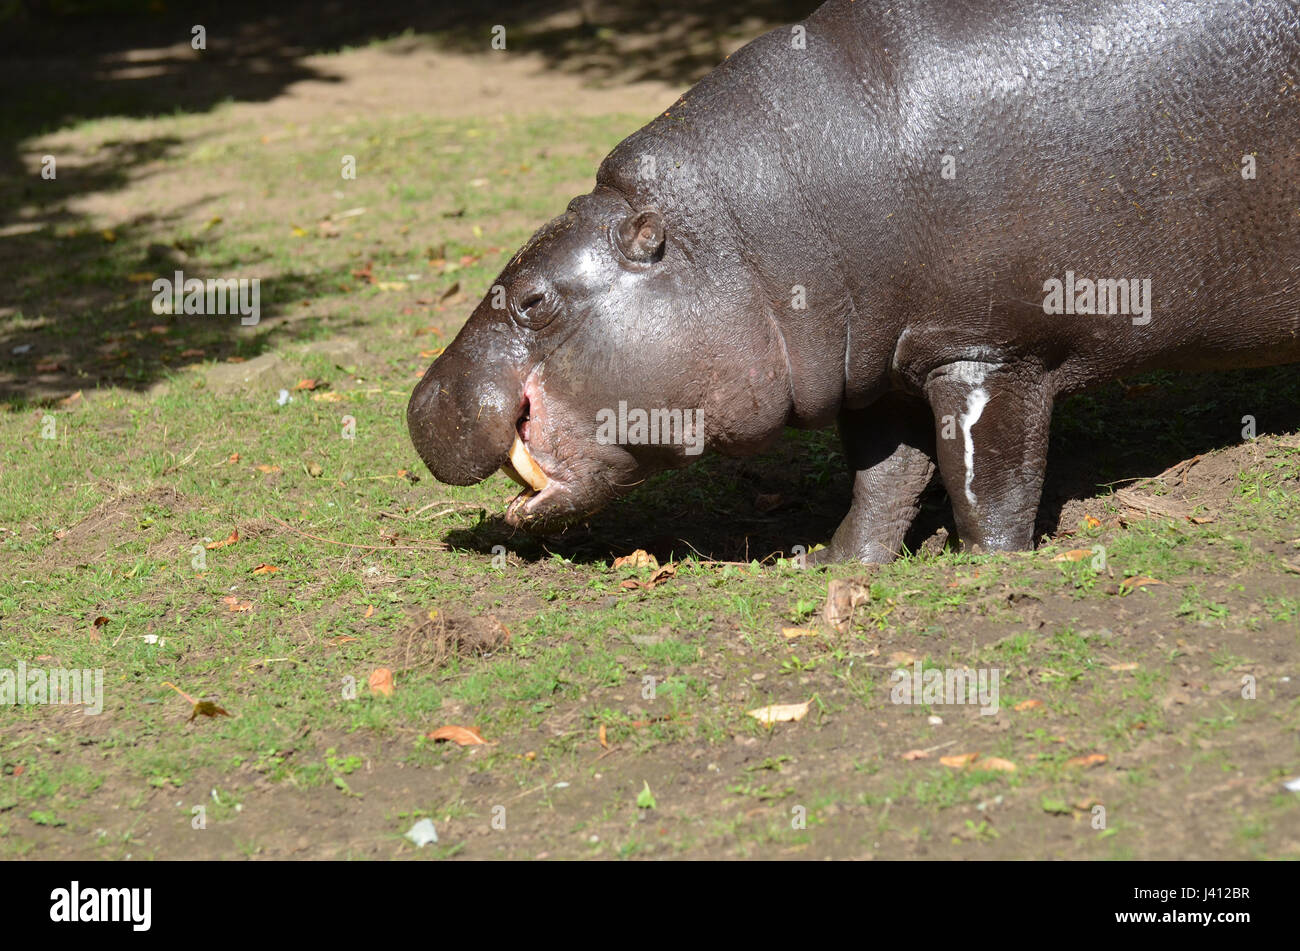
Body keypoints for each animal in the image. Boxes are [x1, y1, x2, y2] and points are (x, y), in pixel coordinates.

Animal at [408, 0, 1300, 563]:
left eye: (535, 301)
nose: (418, 404)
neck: (738, 237)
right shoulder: (876, 367)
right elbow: (883, 476)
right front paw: (836, 562)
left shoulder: (987, 352)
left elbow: (987, 479)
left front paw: (987, 566)